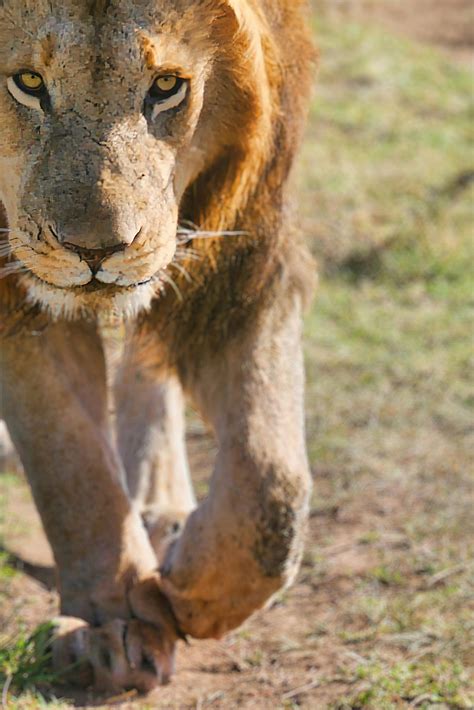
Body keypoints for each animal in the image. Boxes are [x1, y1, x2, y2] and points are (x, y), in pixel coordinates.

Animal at [0, 0, 315, 693]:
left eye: (166, 86)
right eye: (27, 82)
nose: (95, 251)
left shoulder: (244, 257)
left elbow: (270, 485)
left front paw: (186, 592)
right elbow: (67, 459)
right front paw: (109, 620)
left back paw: (160, 506)